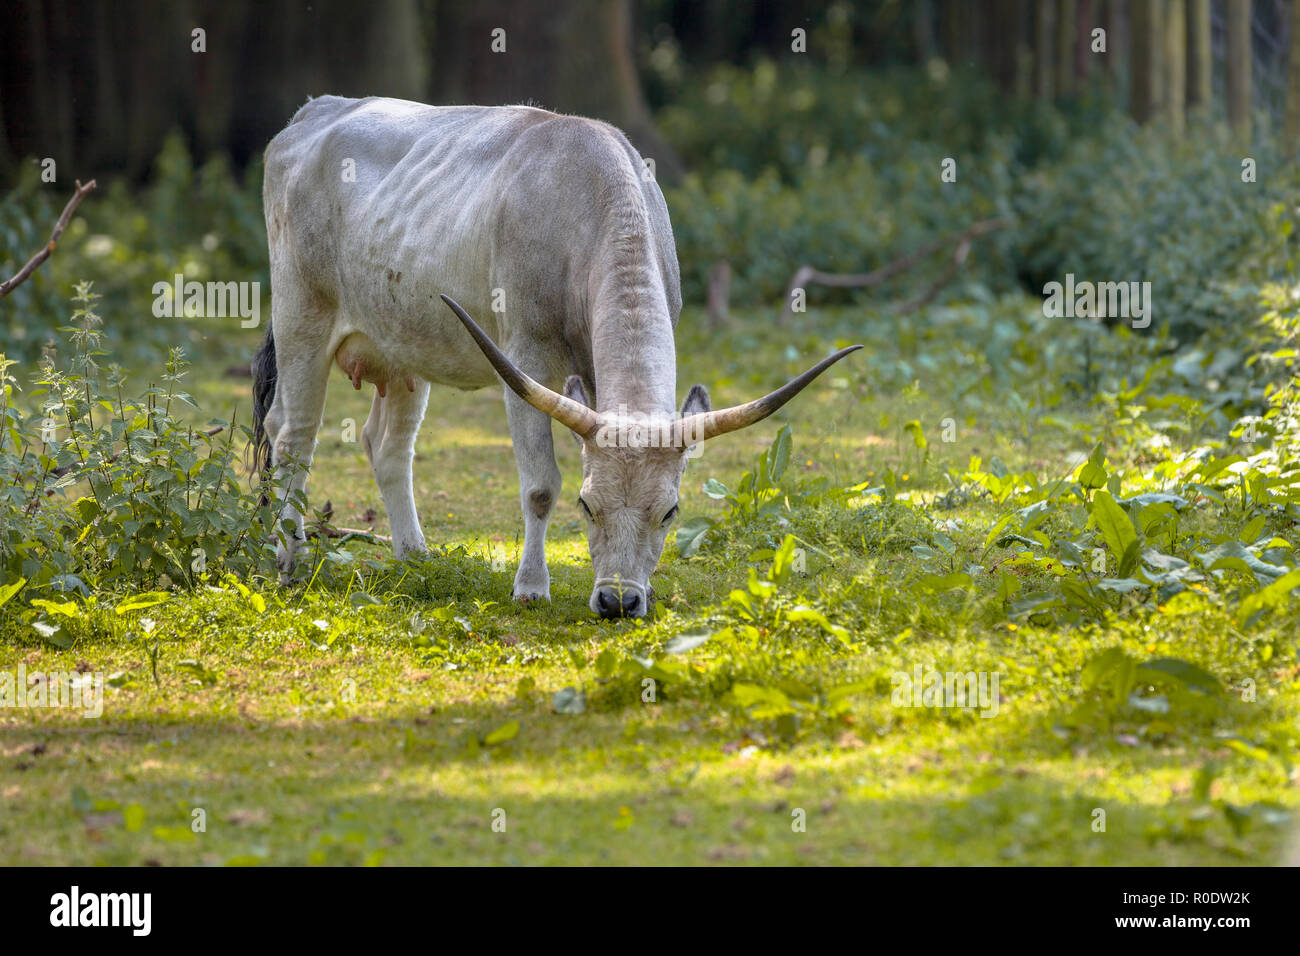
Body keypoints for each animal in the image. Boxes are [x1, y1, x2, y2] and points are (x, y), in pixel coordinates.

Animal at [253, 95, 860, 618]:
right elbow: (541, 485)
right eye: (588, 505)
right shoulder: (523, 356)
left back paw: (415, 557)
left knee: (385, 445)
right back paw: (289, 558)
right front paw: (530, 587)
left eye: (670, 511)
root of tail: (315, 111)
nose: (619, 601)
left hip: (402, 344)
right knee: (293, 437)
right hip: (302, 314)